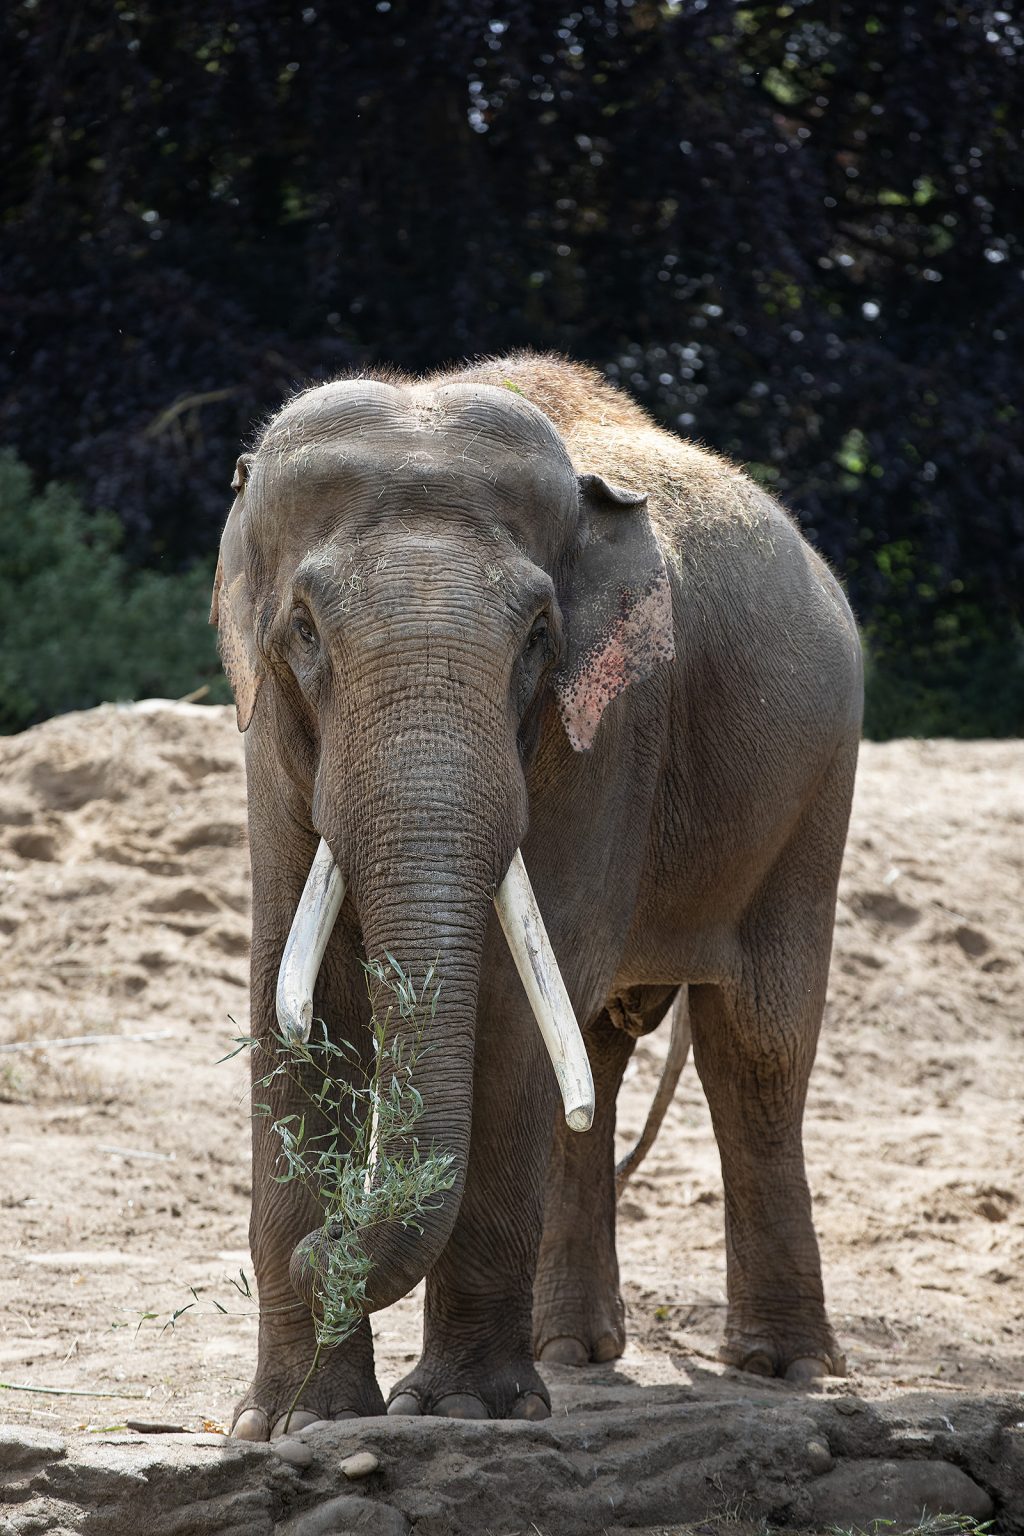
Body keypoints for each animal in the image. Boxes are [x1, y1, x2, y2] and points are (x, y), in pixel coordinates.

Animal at [211, 352, 862, 1436]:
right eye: (303, 629)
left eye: (538, 635)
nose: (323, 1252)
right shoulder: (271, 733)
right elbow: (297, 996)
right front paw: (299, 1422)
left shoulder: (607, 729)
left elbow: (514, 1006)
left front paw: (464, 1412)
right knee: (595, 1049)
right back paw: (574, 1351)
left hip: (814, 794)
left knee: (756, 1047)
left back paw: (785, 1367)